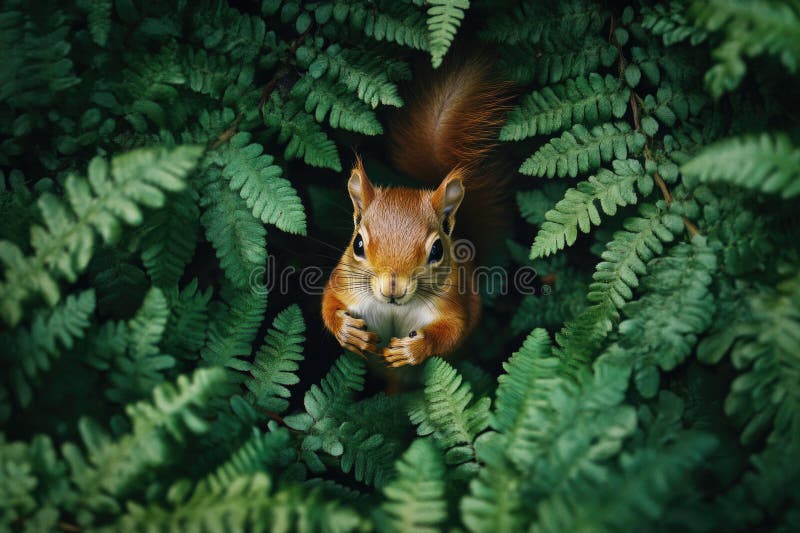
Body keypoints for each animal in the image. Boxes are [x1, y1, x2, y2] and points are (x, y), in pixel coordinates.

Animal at [321, 56, 511, 368]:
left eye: (437, 250)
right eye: (358, 244)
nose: (392, 289)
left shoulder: (452, 303)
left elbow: (452, 331)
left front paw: (412, 349)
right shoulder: (343, 283)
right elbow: (328, 304)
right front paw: (347, 331)